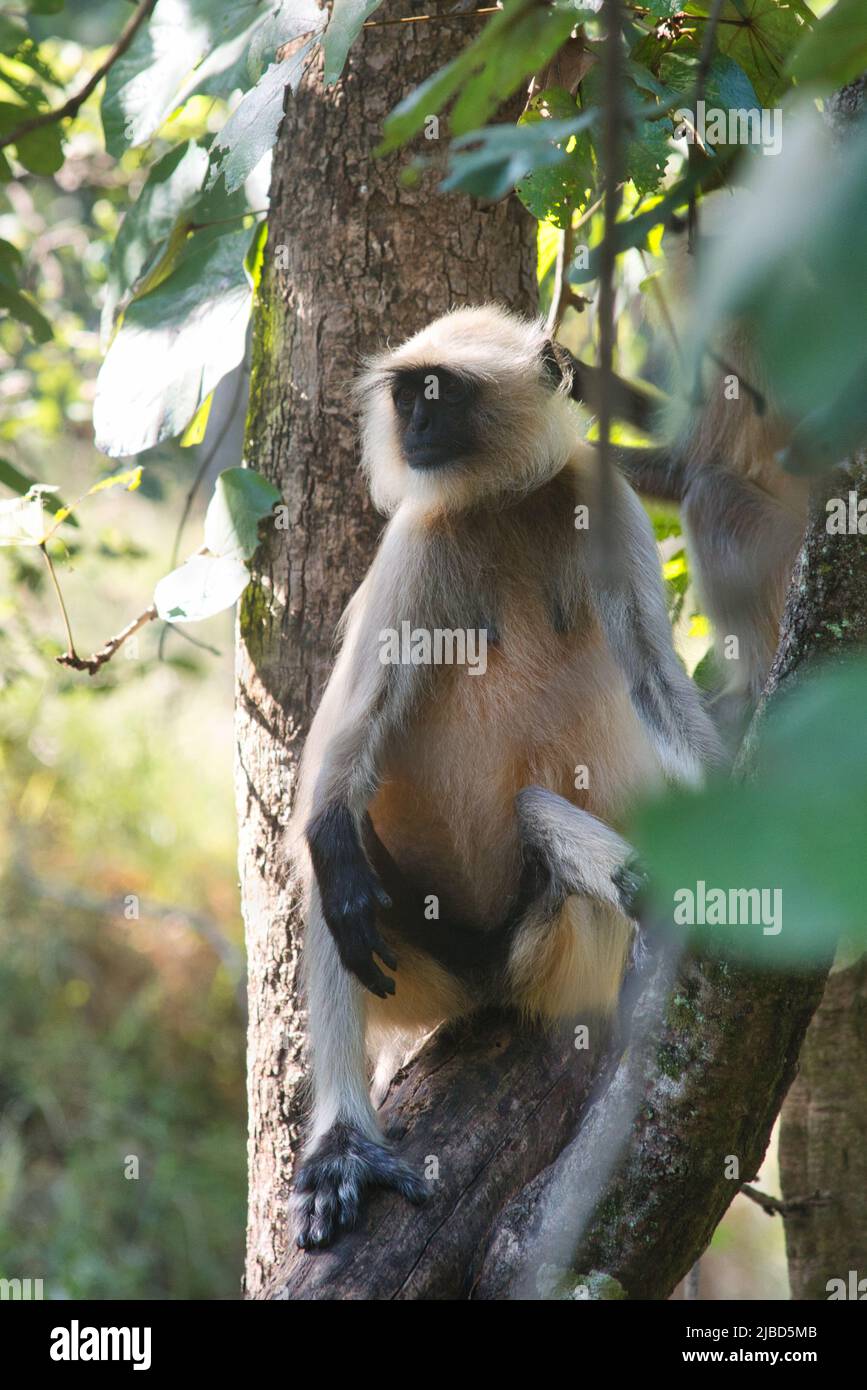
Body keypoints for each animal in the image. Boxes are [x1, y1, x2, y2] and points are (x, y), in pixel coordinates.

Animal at [289, 305, 725, 1250]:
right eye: (406, 393)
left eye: (439, 393)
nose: (412, 427)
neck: (502, 500)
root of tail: (482, 974)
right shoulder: (416, 539)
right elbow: (339, 749)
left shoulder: (600, 496)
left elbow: (654, 680)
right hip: (418, 961)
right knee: (334, 865)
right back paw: (343, 1145)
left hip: (547, 947)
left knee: (535, 813)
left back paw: (648, 898)